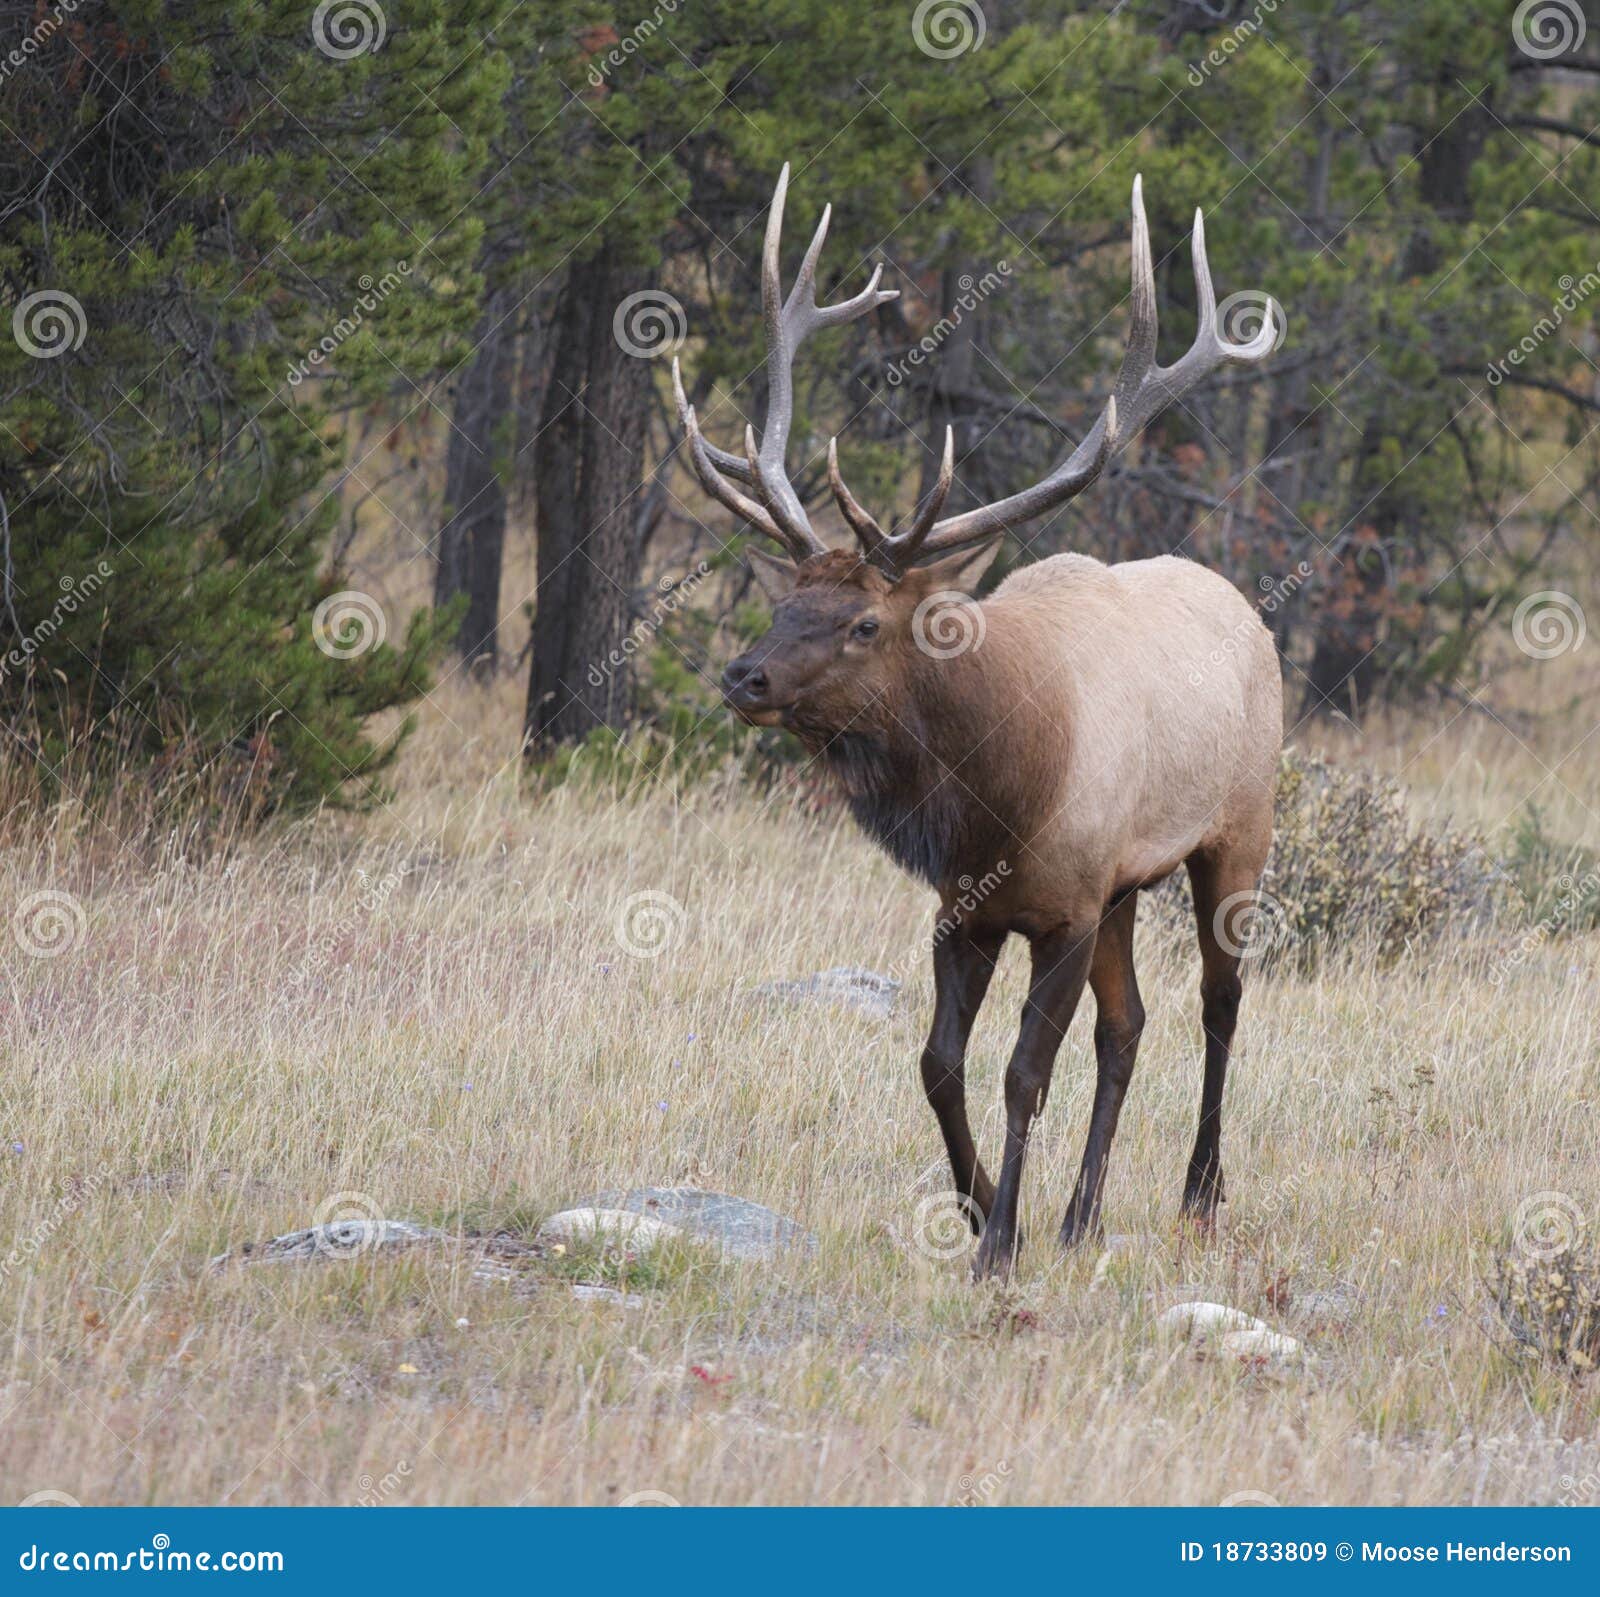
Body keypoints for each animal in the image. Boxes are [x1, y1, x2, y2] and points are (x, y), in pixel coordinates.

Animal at [672, 164, 1283, 1280]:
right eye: (787, 597)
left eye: (865, 621)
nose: (744, 675)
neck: (1000, 796)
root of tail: (1242, 604)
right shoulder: (967, 908)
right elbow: (938, 1064)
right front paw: (990, 1205)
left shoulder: (1066, 909)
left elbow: (1019, 1074)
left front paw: (997, 1244)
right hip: (1126, 887)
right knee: (1128, 1026)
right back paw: (1083, 1215)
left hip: (1236, 831)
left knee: (1220, 1003)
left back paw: (1198, 1193)